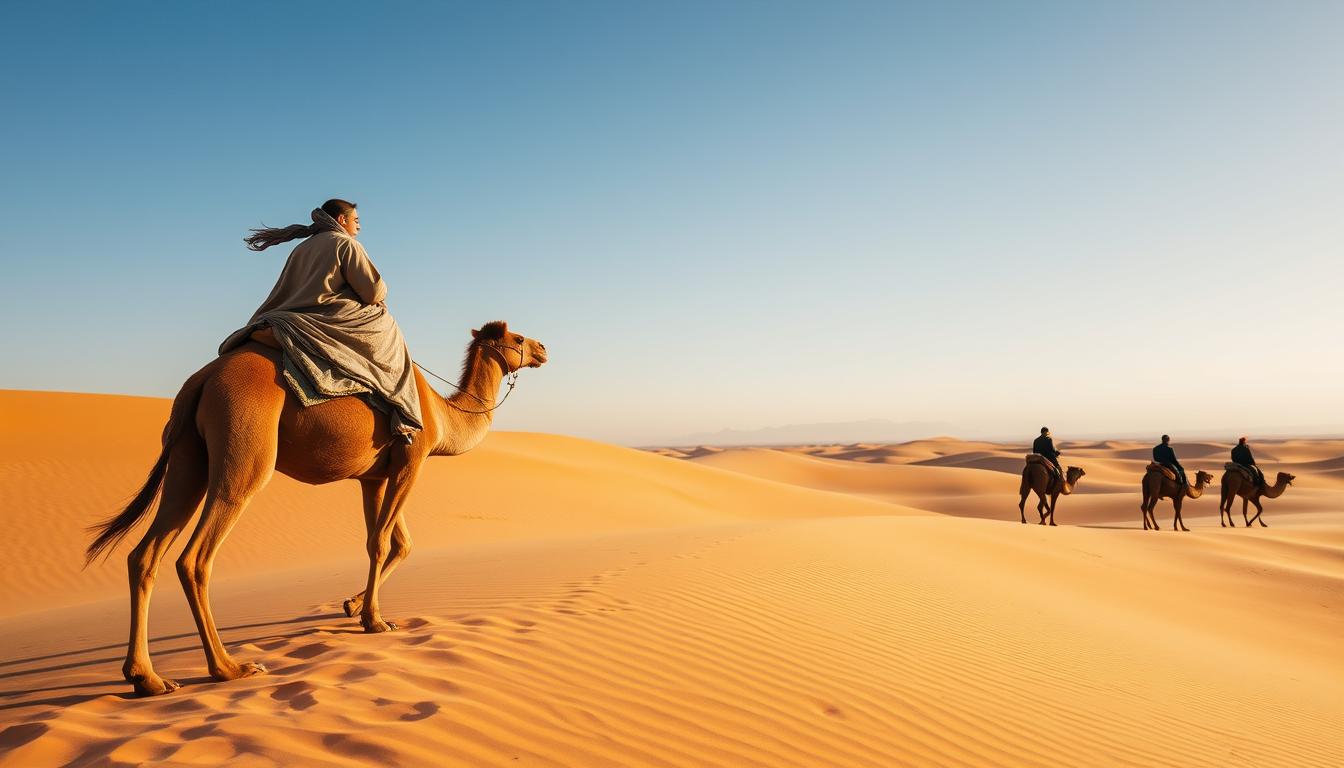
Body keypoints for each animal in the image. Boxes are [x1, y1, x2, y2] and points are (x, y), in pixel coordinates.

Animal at [85, 321, 547, 697]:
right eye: (517, 338)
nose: (544, 348)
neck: (442, 416)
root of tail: (200, 381)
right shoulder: (411, 461)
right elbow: (384, 543)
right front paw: (374, 621)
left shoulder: (373, 477)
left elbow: (393, 543)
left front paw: (354, 607)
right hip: (243, 451)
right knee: (195, 557)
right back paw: (230, 668)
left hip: (186, 457)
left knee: (144, 554)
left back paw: (148, 678)